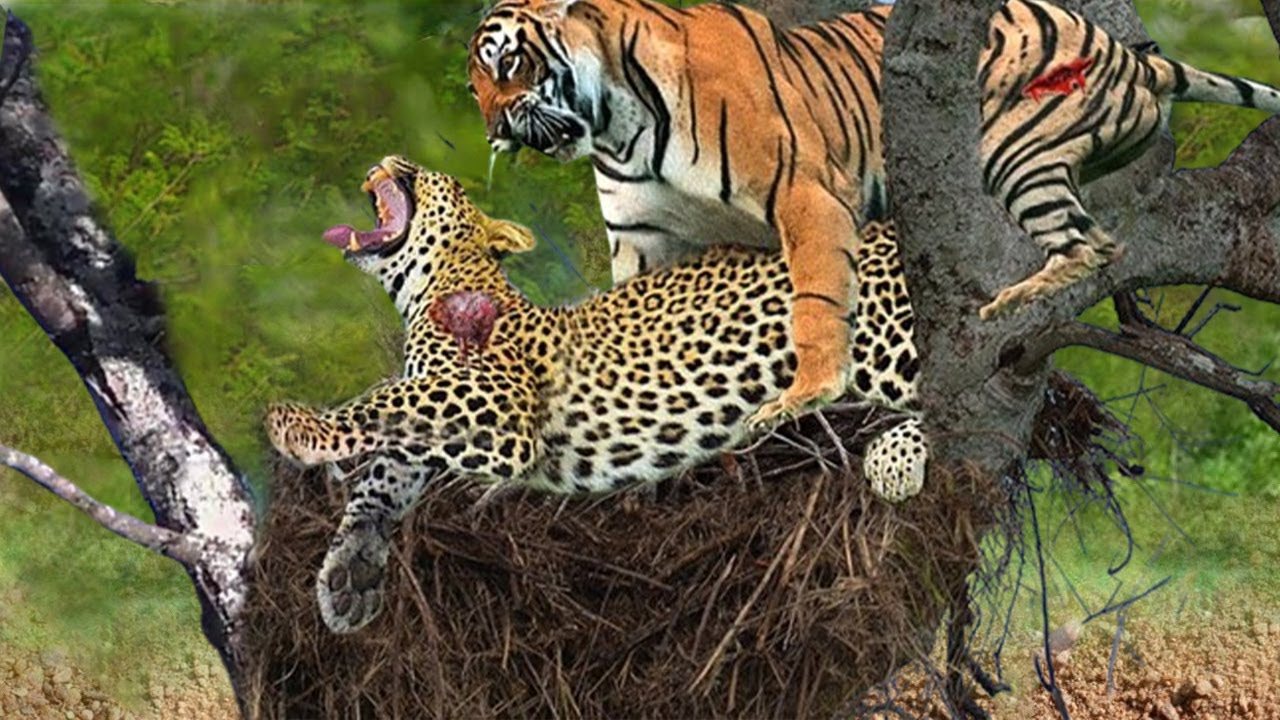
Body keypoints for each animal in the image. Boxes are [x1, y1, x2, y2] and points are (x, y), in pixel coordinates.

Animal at [265, 155, 925, 634]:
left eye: (435, 178)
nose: (392, 157)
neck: (431, 285)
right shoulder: (443, 424)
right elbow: (383, 474)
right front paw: (350, 573)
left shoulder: (497, 405)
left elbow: (382, 403)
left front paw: (296, 425)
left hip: (885, 333)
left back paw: (894, 458)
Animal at [467, 0, 1280, 422]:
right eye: (475, 82)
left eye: (507, 63)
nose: (493, 126)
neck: (616, 121)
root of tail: (1128, 51)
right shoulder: (644, 235)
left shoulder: (807, 194)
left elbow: (817, 302)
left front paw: (806, 395)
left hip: (1010, 148)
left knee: (1091, 244)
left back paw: (1005, 305)